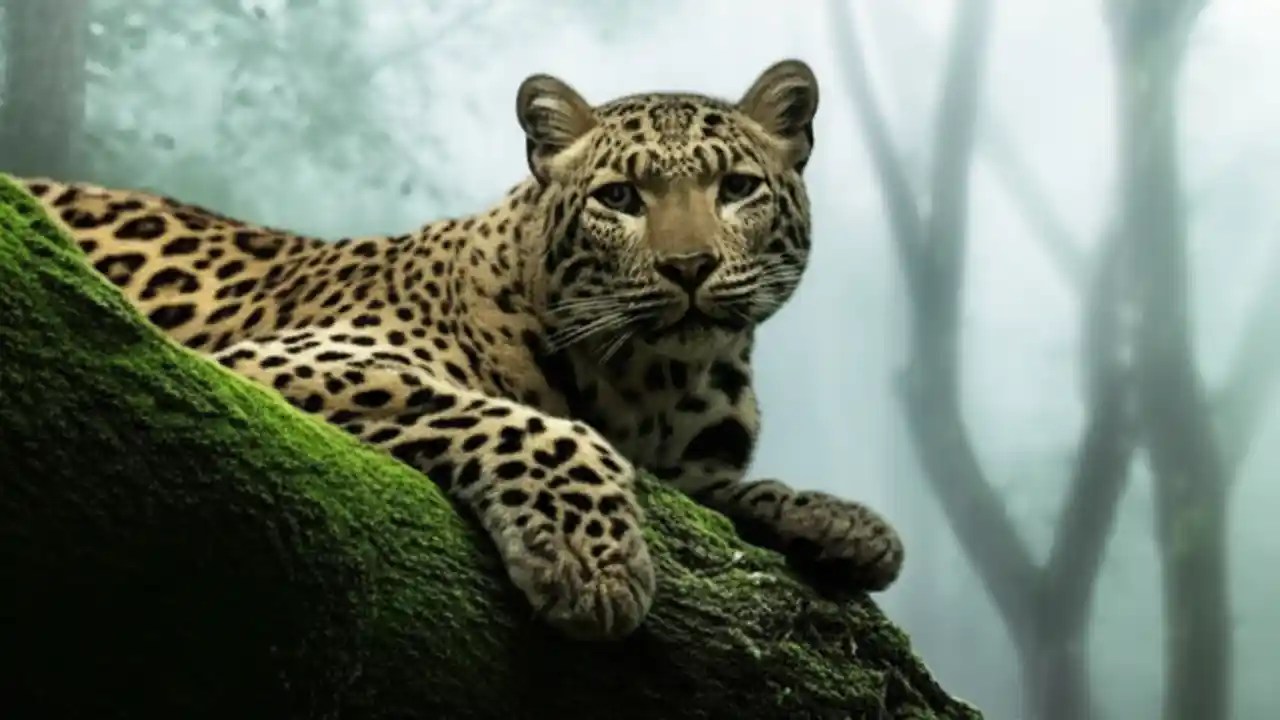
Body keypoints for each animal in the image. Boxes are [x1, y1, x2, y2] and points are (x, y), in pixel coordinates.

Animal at [8, 59, 904, 641]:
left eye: (737, 189)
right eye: (619, 198)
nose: (688, 268)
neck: (658, 380)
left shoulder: (690, 461)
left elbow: (725, 489)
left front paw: (842, 522)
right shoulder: (288, 359)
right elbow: (527, 422)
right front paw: (590, 557)